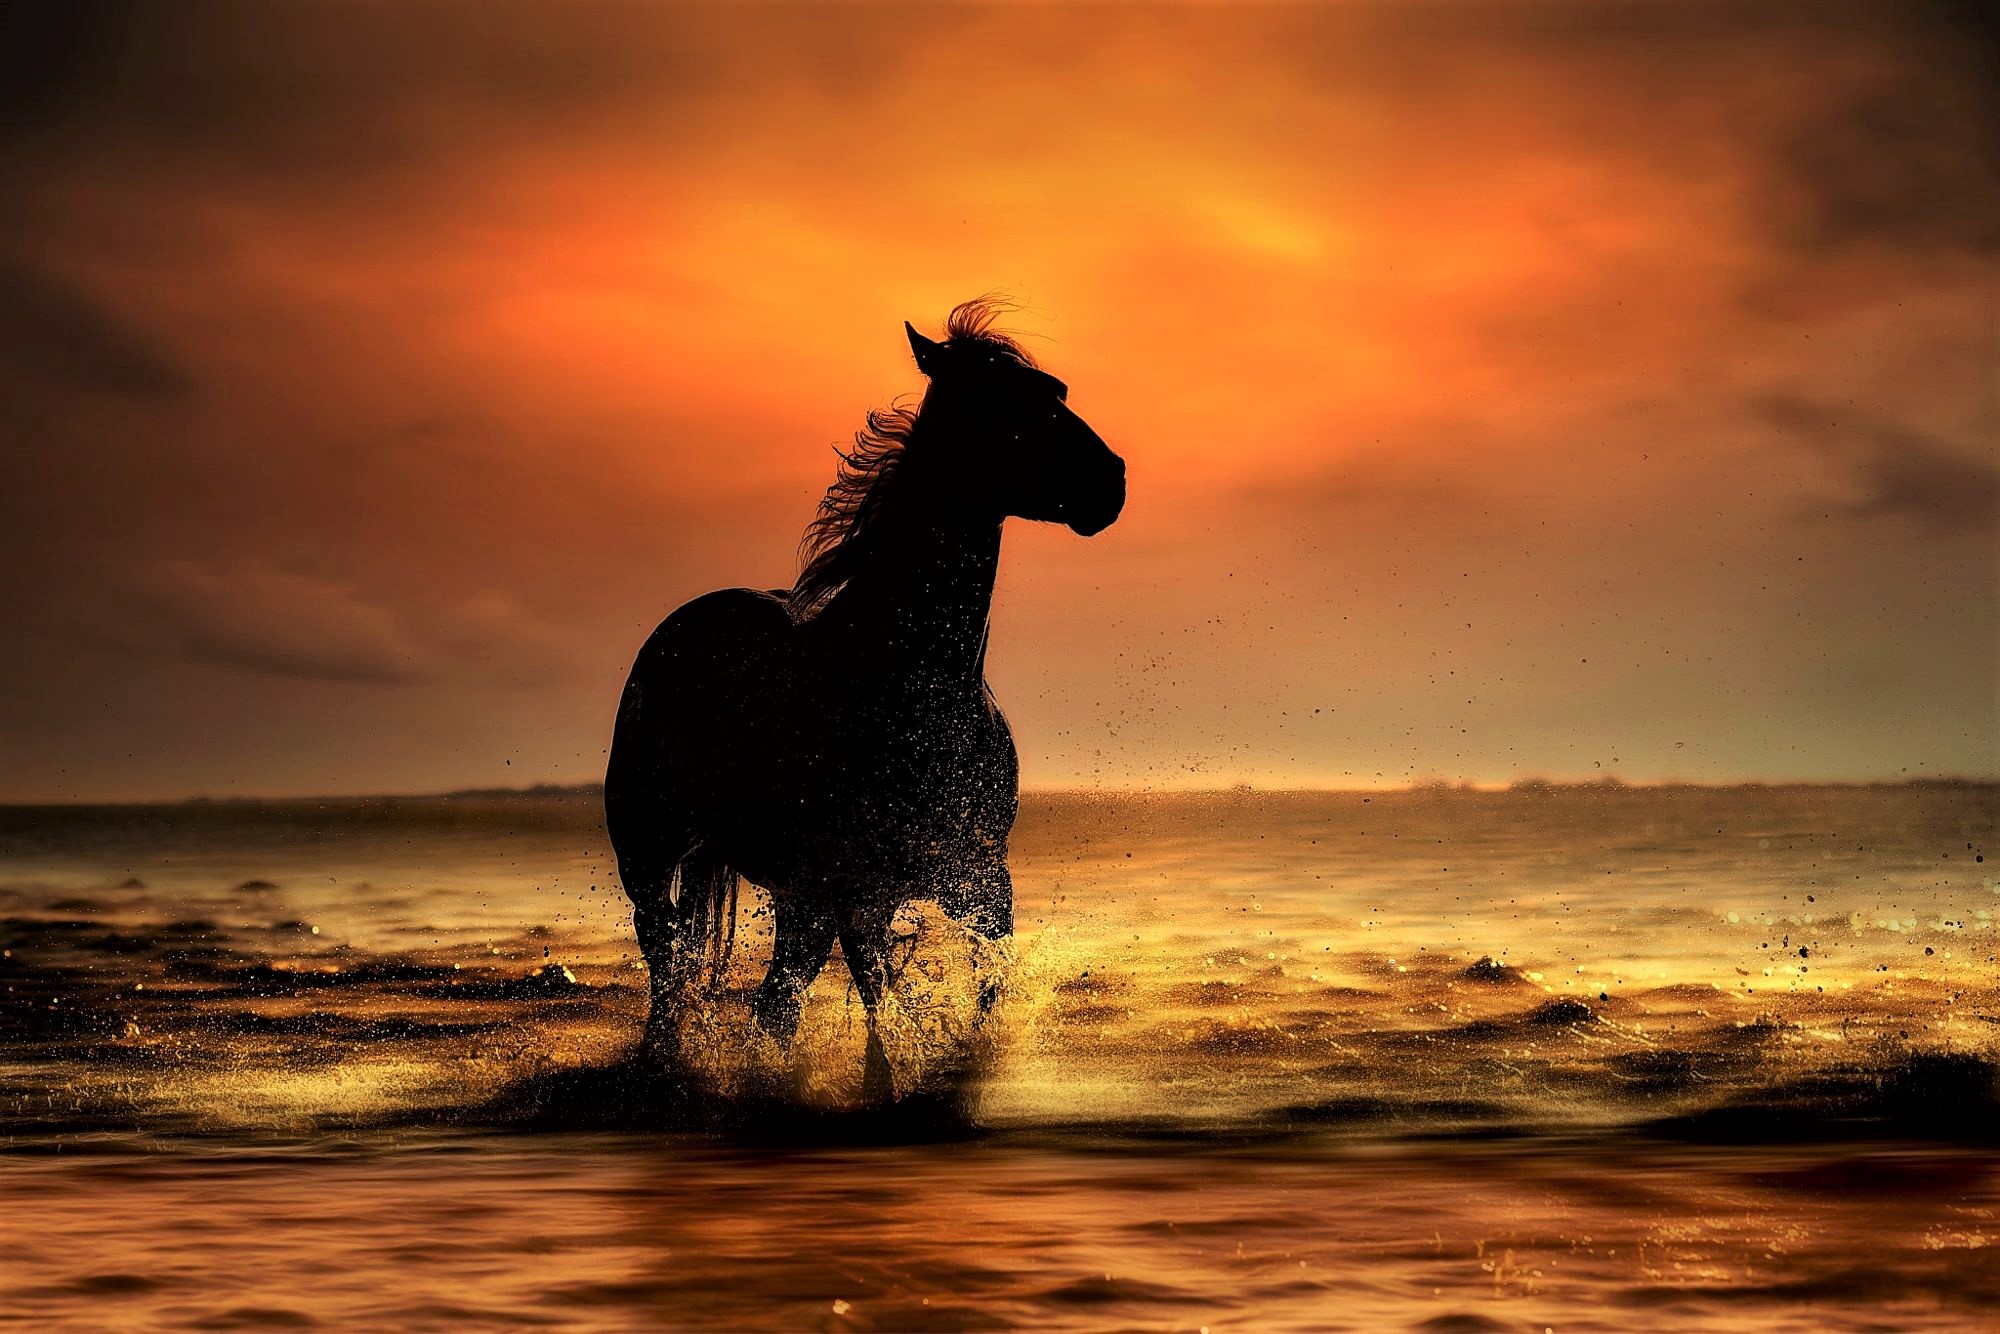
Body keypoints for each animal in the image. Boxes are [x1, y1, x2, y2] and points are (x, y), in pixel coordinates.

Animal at [604, 299, 1125, 1099]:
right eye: (997, 402)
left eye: (1055, 391)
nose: (1111, 481)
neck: (915, 687)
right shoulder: (846, 888)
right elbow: (854, 1002)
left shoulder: (975, 877)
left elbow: (978, 986)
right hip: (654, 858)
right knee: (674, 974)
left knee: (742, 986)